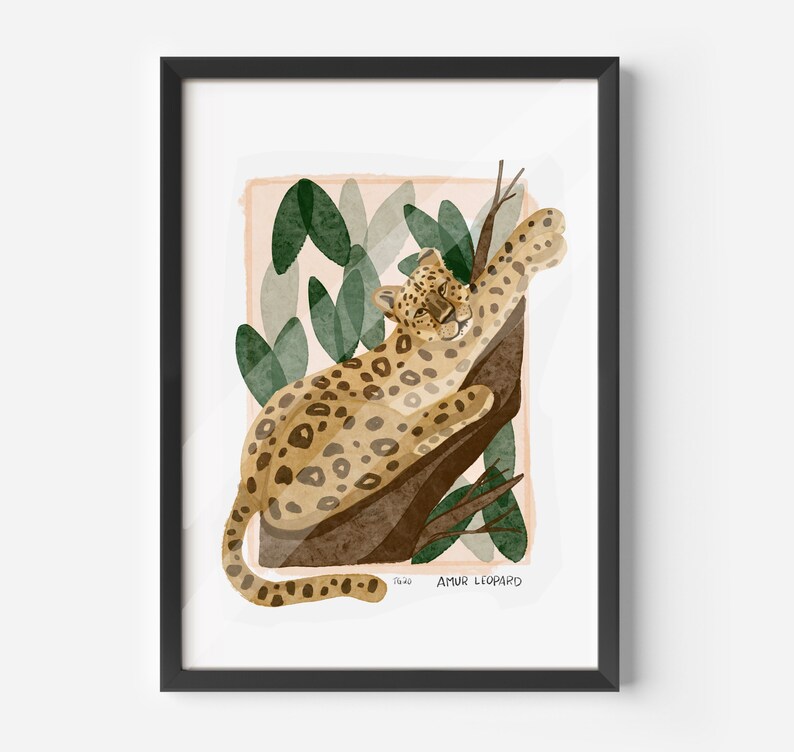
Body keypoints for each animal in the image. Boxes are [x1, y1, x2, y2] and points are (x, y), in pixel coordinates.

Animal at [223, 207, 567, 606]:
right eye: (419, 310)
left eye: (443, 288)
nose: (449, 317)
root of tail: (250, 485)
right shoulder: (461, 339)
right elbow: (493, 285)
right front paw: (543, 237)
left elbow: (489, 278)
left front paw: (543, 227)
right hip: (353, 430)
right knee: (380, 459)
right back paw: (465, 402)